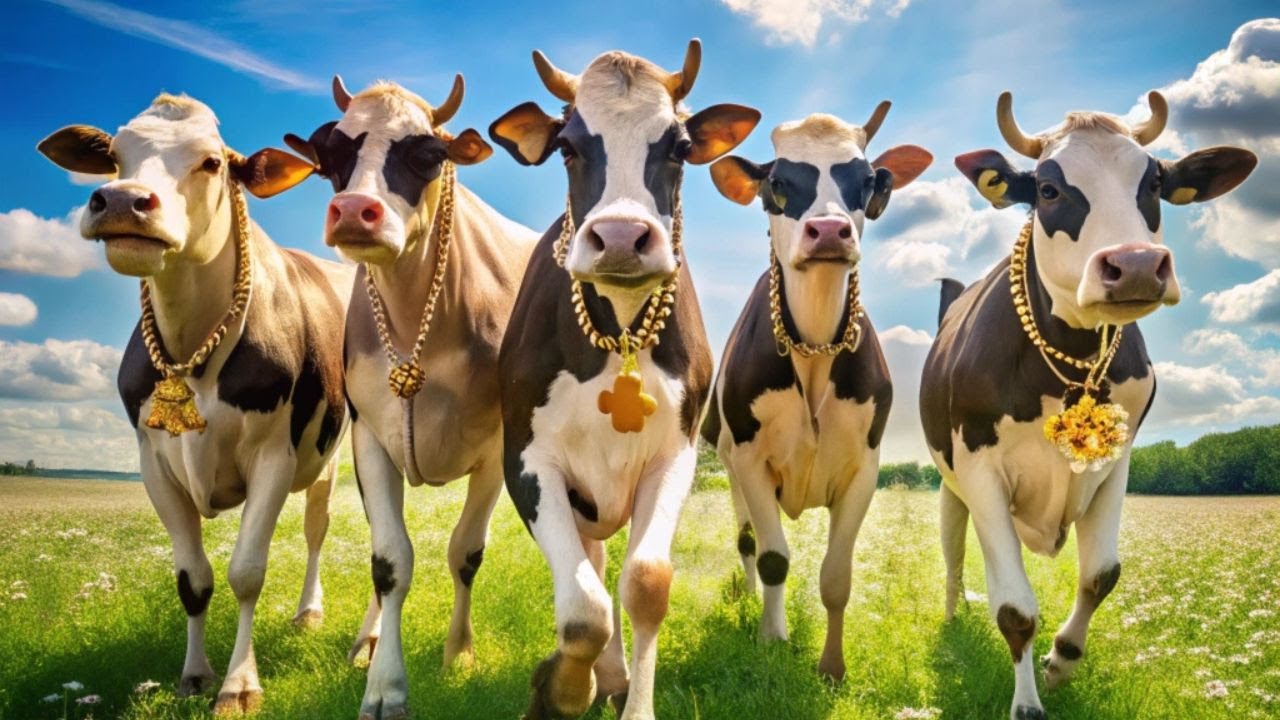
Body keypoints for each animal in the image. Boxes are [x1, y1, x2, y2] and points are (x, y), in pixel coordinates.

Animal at [36, 95, 352, 713]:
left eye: (211, 162)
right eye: (115, 154)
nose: (121, 201)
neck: (193, 351)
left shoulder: (274, 459)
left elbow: (247, 573)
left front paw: (239, 684)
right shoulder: (154, 465)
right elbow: (193, 579)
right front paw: (196, 674)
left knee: (322, 530)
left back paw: (319, 616)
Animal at [277, 76, 537, 719]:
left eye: (428, 153)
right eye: (331, 155)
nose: (353, 211)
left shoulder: (498, 448)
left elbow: (466, 552)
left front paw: (459, 653)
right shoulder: (371, 434)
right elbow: (389, 560)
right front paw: (385, 684)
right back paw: (367, 639)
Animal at [487, 40, 760, 719]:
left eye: (680, 146)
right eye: (567, 146)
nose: (618, 238)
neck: (620, 336)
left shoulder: (675, 454)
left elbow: (645, 582)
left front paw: (629, 700)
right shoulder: (525, 458)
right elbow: (584, 610)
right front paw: (560, 688)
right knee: (589, 562)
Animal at [701, 109, 932, 679]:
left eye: (868, 181)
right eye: (776, 184)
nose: (828, 229)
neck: (813, 347)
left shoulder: (864, 469)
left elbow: (836, 575)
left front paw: (832, 665)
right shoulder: (750, 460)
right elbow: (773, 558)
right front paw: (771, 637)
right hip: (729, 465)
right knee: (747, 541)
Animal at [920, 91, 1256, 719]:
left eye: (1154, 182)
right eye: (1049, 189)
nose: (1138, 265)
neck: (1070, 356)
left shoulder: (1115, 462)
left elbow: (1101, 574)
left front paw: (1061, 660)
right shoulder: (979, 470)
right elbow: (1014, 608)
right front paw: (1026, 704)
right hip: (953, 487)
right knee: (954, 557)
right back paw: (954, 618)